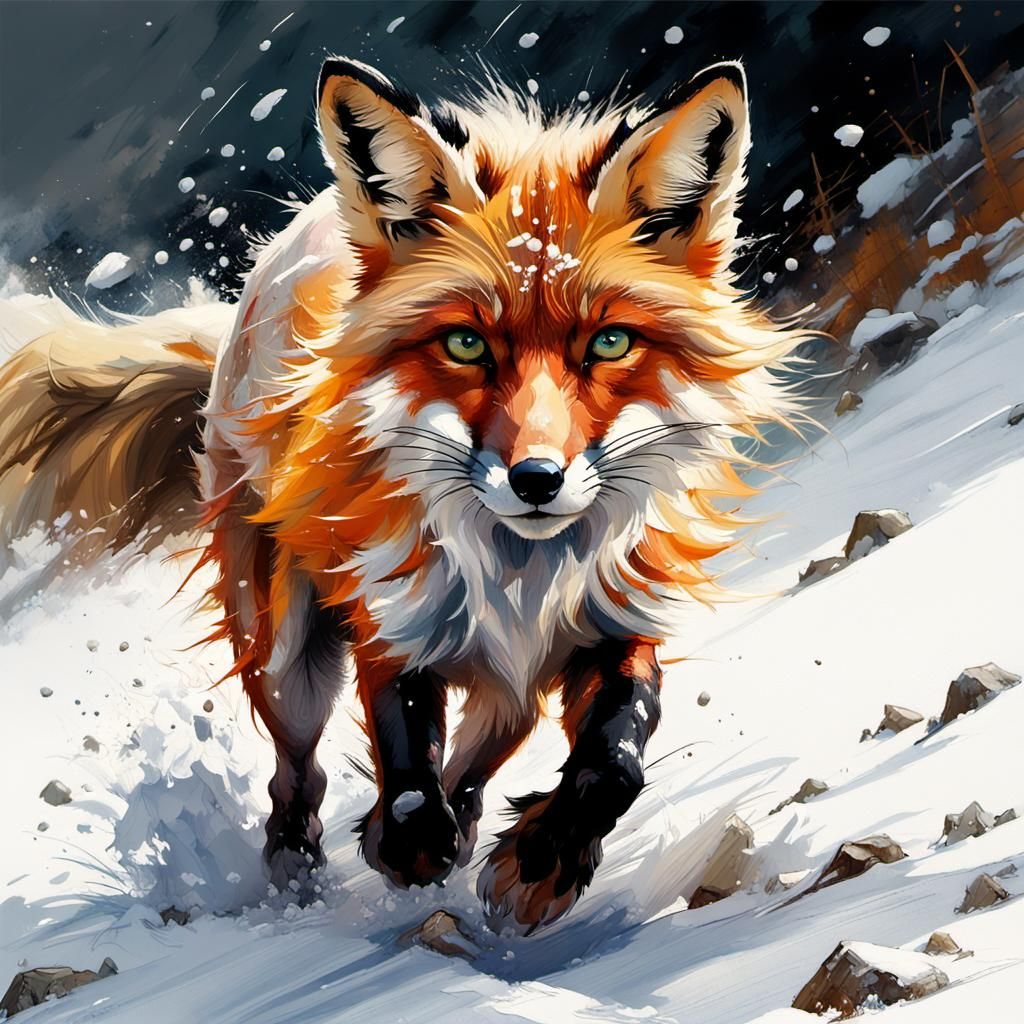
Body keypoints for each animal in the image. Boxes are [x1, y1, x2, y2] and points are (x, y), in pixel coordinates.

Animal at [0, 57, 806, 934]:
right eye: (466, 344)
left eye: (610, 342)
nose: (536, 480)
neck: (520, 578)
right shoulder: (396, 622)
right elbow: (409, 770)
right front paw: (412, 847)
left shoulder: (616, 619)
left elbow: (614, 760)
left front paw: (541, 864)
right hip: (288, 657)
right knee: (297, 775)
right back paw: (302, 869)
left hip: (498, 685)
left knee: (486, 747)